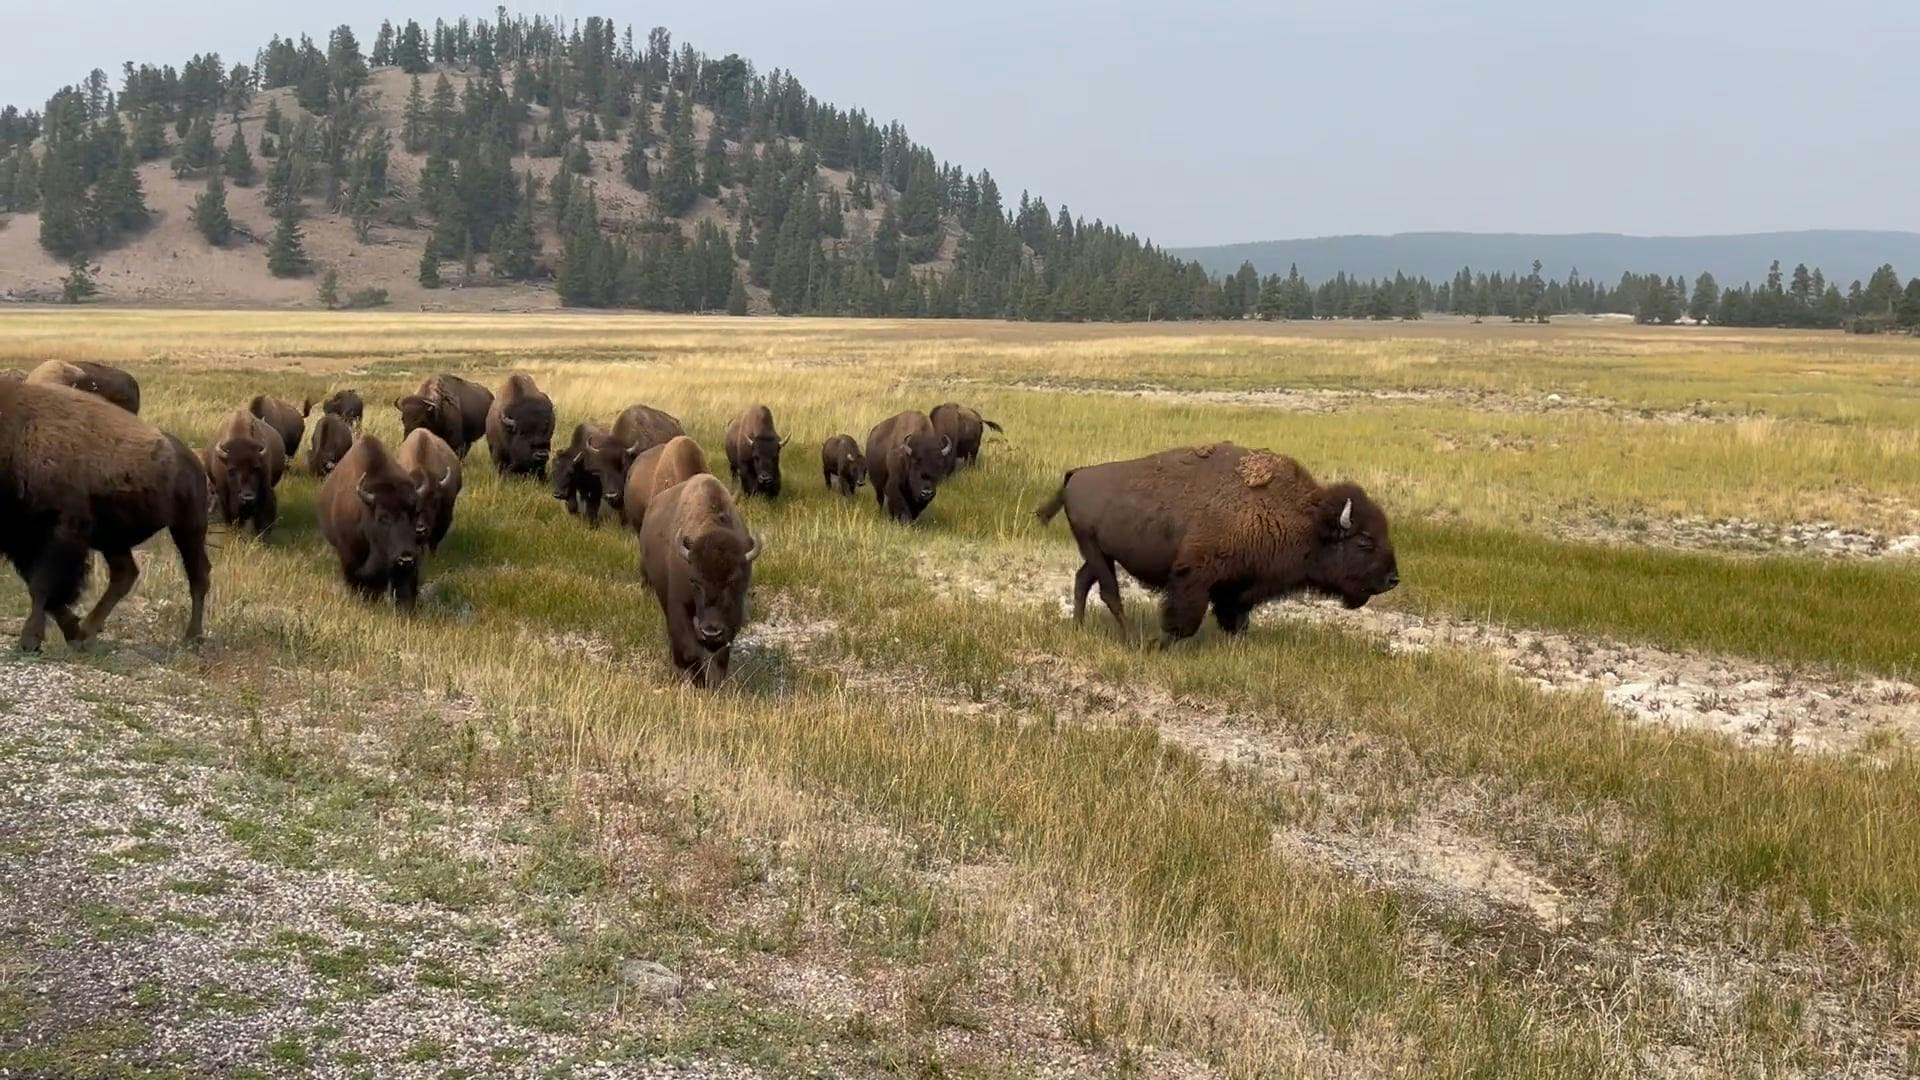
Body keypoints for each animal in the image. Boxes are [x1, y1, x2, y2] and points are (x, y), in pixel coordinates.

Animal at [0, 379, 208, 650]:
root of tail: (192, 459)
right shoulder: (22, 542)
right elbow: (45, 591)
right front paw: (73, 632)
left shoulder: (58, 536)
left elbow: (42, 586)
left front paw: (30, 640)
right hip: (113, 539)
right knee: (125, 574)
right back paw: (88, 631)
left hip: (188, 528)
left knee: (198, 576)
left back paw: (192, 636)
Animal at [639, 474, 761, 687]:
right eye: (695, 581)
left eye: (733, 581)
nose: (711, 632)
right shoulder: (678, 606)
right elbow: (690, 651)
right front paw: (699, 682)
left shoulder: (733, 615)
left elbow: (721, 655)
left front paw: (715, 685)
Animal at [1035, 443, 1399, 645]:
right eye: (1364, 541)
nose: (1392, 579)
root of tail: (1077, 474)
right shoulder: (1194, 578)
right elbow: (1183, 622)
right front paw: (1157, 643)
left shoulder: (1237, 587)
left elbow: (1236, 619)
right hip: (1094, 549)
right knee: (1109, 592)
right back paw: (1131, 638)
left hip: (1101, 553)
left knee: (1084, 581)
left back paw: (1080, 627)